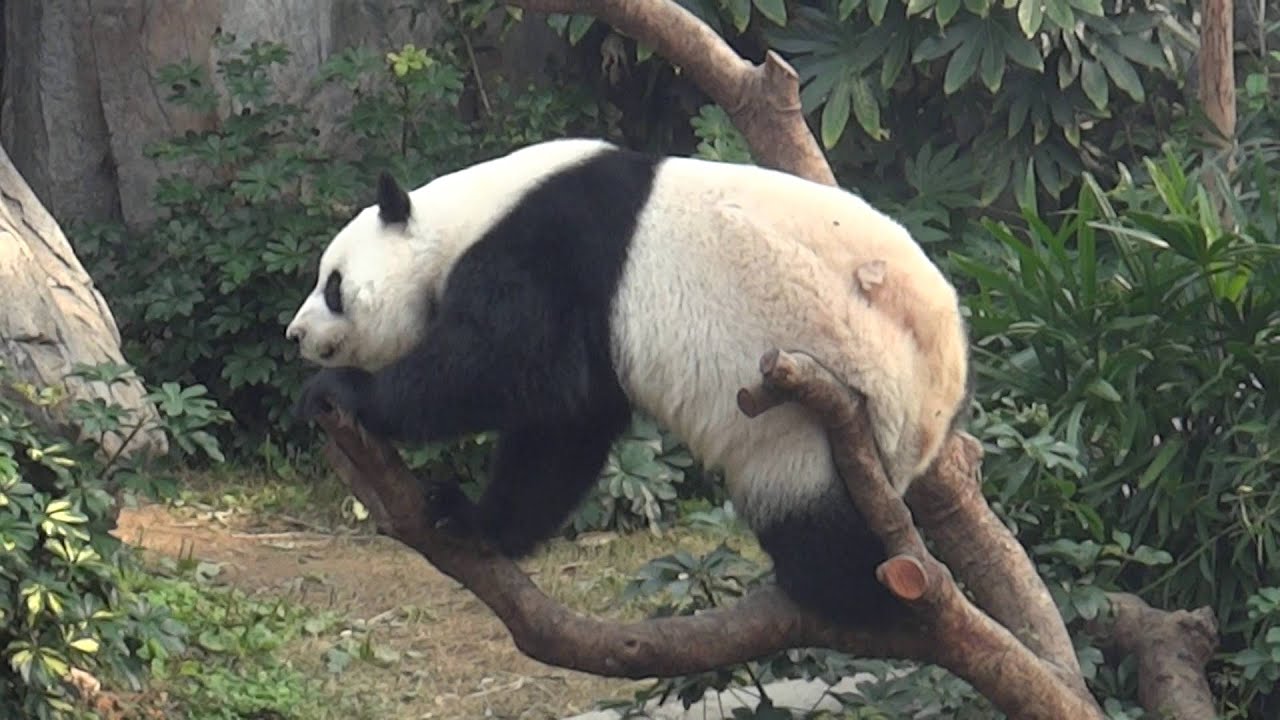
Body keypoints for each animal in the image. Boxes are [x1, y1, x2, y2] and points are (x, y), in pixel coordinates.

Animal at [285, 138, 971, 625]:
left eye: (334, 285)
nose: (295, 335)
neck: (464, 217)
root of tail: (935, 404)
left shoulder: (550, 251)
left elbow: (512, 365)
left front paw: (341, 394)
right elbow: (567, 422)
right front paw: (477, 523)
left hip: (810, 418)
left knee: (811, 520)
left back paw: (857, 596)